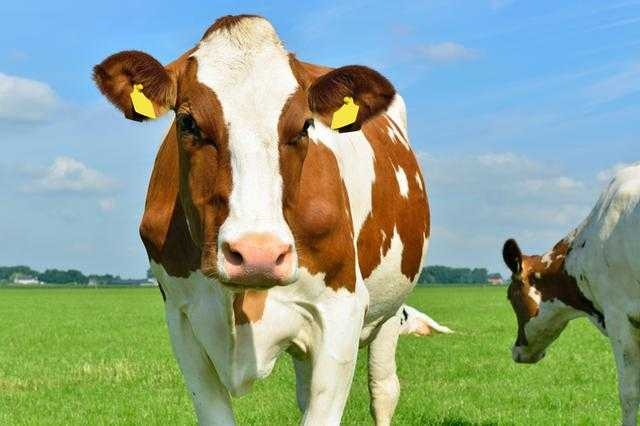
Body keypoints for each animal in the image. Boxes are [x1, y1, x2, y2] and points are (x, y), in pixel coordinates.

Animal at [93, 14, 439, 425]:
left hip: (389, 311)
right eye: (188, 122)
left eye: (305, 126)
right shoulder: (181, 318)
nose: (257, 255)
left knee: (383, 390)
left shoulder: (342, 311)